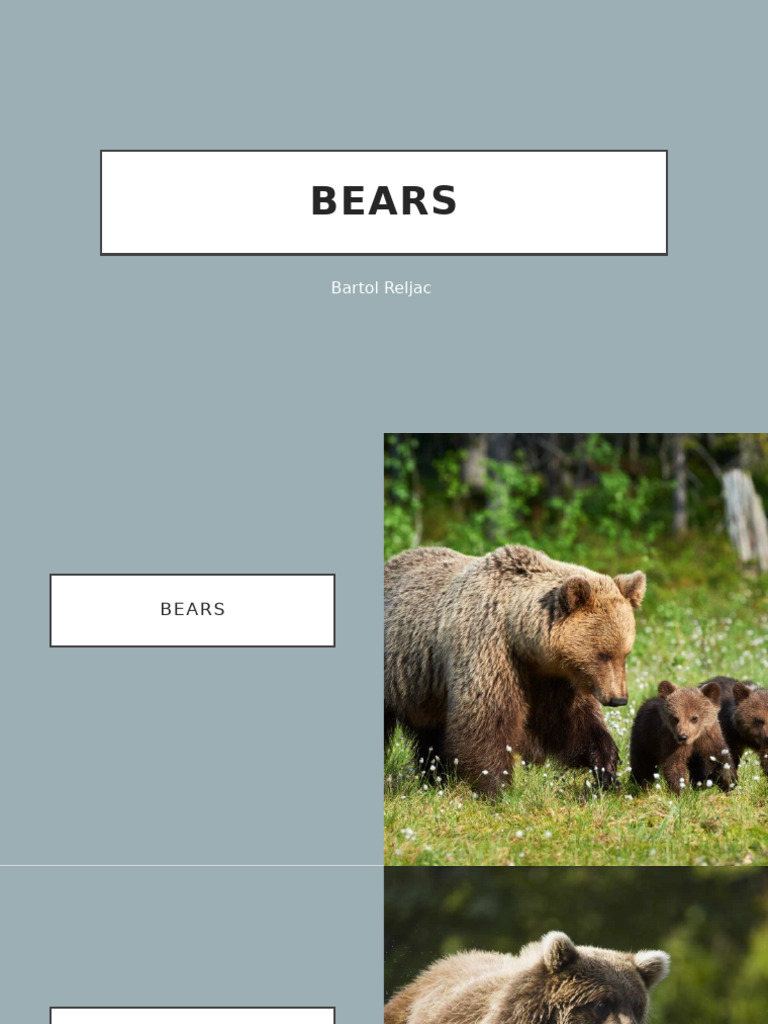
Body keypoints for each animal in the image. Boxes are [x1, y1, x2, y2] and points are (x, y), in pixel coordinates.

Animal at [384, 544, 646, 795]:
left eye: (625, 653)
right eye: (602, 654)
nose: (619, 699)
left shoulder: (551, 677)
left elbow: (570, 720)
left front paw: (606, 767)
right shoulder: (490, 650)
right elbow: (487, 718)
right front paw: (495, 786)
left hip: (426, 688)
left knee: (432, 734)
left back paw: (435, 779)